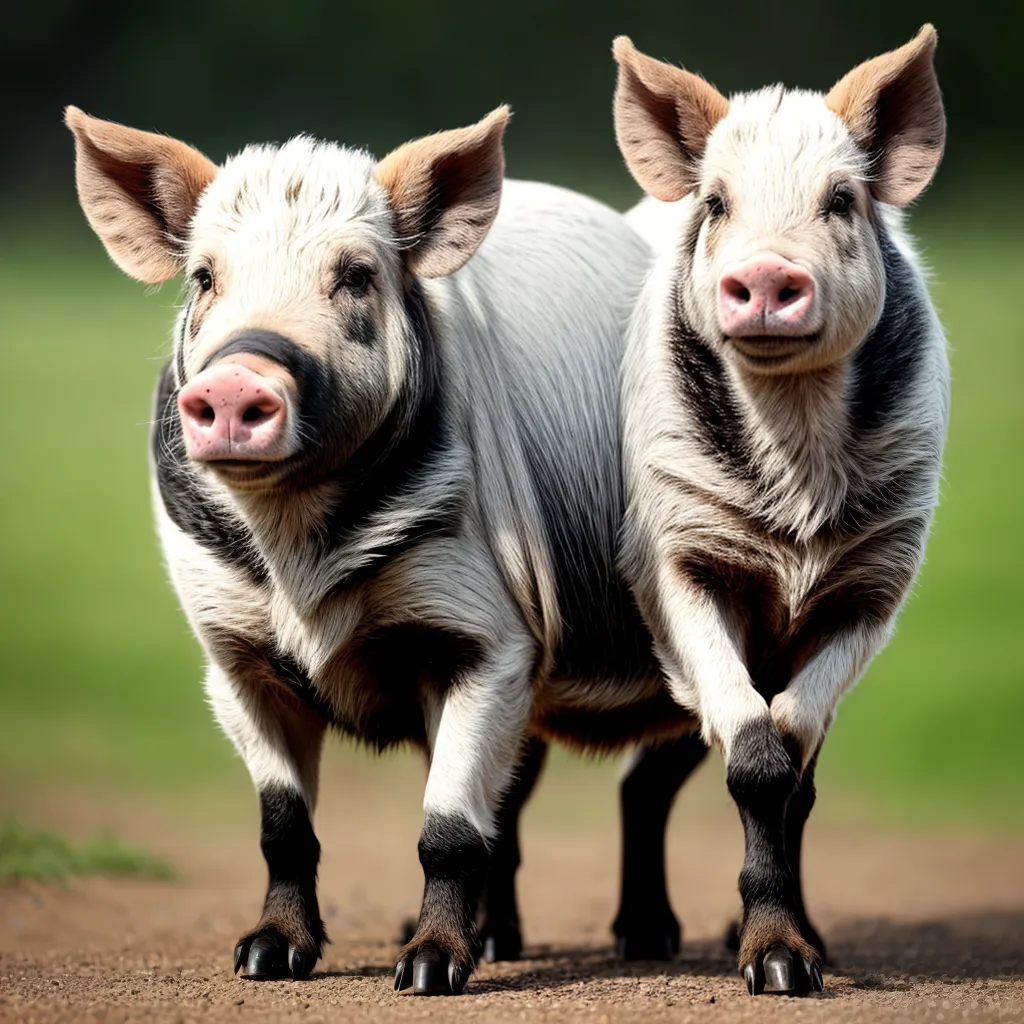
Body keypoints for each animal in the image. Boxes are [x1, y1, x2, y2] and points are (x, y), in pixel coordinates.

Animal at [612, 26, 948, 995]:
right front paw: (776, 969)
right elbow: (756, 757)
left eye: (841, 199)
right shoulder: (679, 563)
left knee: (646, 780)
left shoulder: (871, 590)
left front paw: (797, 956)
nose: (765, 273)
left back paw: (647, 935)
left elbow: (793, 761)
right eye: (717, 203)